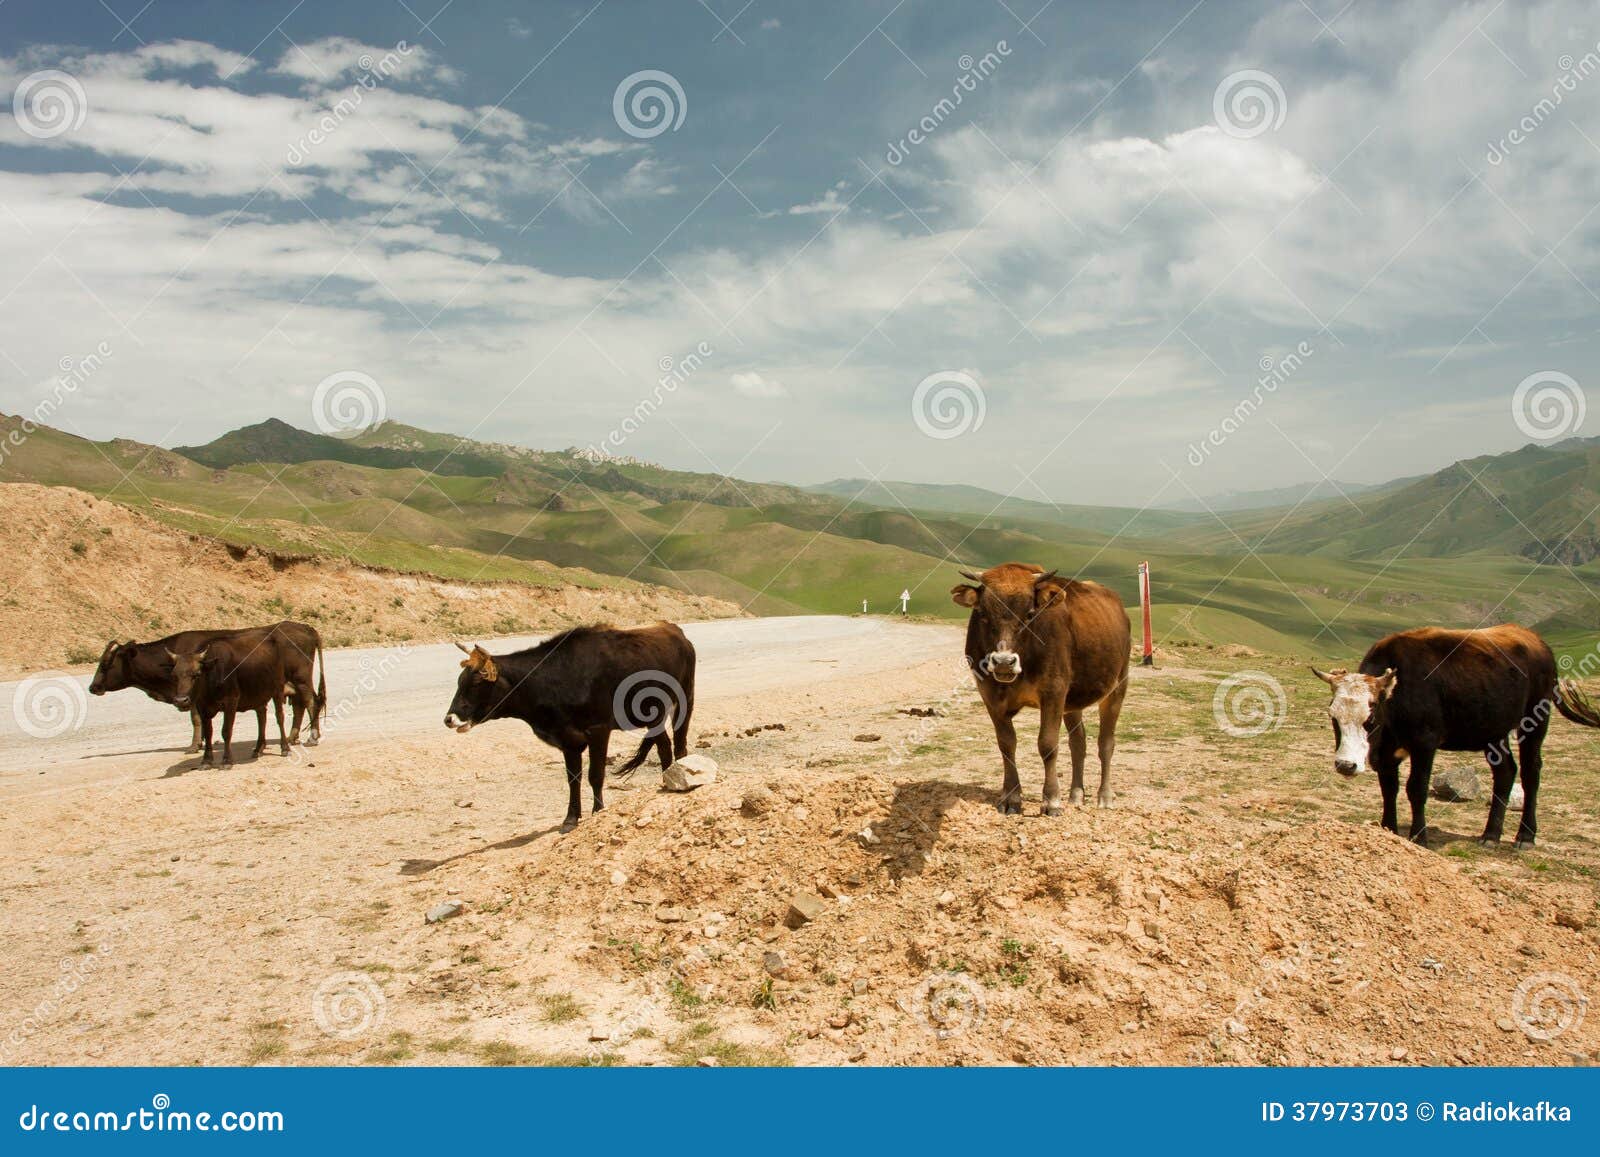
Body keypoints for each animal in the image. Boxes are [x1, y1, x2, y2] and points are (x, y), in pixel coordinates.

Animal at [89, 622, 325, 752]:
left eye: (106, 664)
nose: (92, 687)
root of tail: (306, 628)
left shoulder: (190, 696)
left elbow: (194, 719)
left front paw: (194, 745)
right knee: (300, 705)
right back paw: (293, 737)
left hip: (301, 679)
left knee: (312, 701)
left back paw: (312, 737)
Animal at [166, 629, 327, 767]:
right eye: (174, 675)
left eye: (196, 674)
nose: (181, 701)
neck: (213, 673)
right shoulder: (203, 707)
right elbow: (208, 732)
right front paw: (206, 761)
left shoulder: (231, 702)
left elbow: (226, 731)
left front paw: (227, 761)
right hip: (259, 694)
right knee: (262, 716)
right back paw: (258, 748)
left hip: (278, 690)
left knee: (282, 716)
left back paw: (286, 746)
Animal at [443, 622, 696, 832]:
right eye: (459, 681)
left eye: (477, 682)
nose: (449, 719)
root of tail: (674, 631)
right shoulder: (568, 740)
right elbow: (573, 779)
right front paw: (570, 819)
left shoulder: (598, 730)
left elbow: (595, 775)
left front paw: (597, 811)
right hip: (653, 717)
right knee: (664, 746)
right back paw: (665, 777)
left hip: (685, 701)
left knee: (679, 745)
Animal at [952, 563, 1132, 815]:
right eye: (984, 615)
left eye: (1029, 614)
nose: (1004, 662)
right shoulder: (990, 695)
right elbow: (1006, 744)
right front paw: (1011, 797)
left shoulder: (1053, 691)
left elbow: (1047, 744)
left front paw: (1052, 800)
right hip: (1072, 701)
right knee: (1078, 742)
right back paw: (1076, 794)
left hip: (1117, 686)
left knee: (1106, 742)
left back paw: (1105, 796)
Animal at [1313, 624, 1600, 849]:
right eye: (1333, 717)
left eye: (1369, 719)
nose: (1346, 765)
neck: (1397, 694)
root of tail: (1538, 642)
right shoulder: (1386, 752)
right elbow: (1389, 789)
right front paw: (1388, 831)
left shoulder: (1424, 744)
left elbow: (1416, 788)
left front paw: (1419, 837)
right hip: (1493, 731)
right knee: (1505, 772)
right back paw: (1490, 835)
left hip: (1536, 718)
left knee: (1531, 772)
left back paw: (1525, 837)